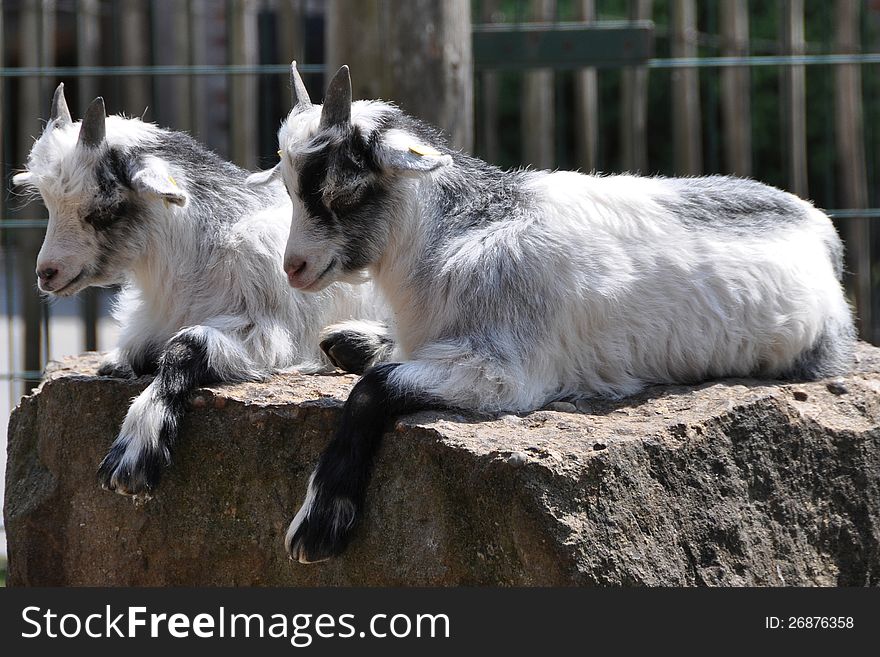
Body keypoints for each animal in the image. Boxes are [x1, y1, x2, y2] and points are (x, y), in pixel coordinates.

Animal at [12, 84, 390, 498]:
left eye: (103, 210)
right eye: (49, 204)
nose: (47, 273)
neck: (197, 256)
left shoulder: (268, 332)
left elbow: (188, 344)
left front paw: (133, 451)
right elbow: (138, 353)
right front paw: (119, 363)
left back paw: (356, 343)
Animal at [262, 64, 860, 560]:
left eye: (342, 192)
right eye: (289, 188)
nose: (293, 267)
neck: (453, 234)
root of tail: (823, 230)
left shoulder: (502, 376)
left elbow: (376, 388)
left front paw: (320, 522)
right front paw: (362, 341)